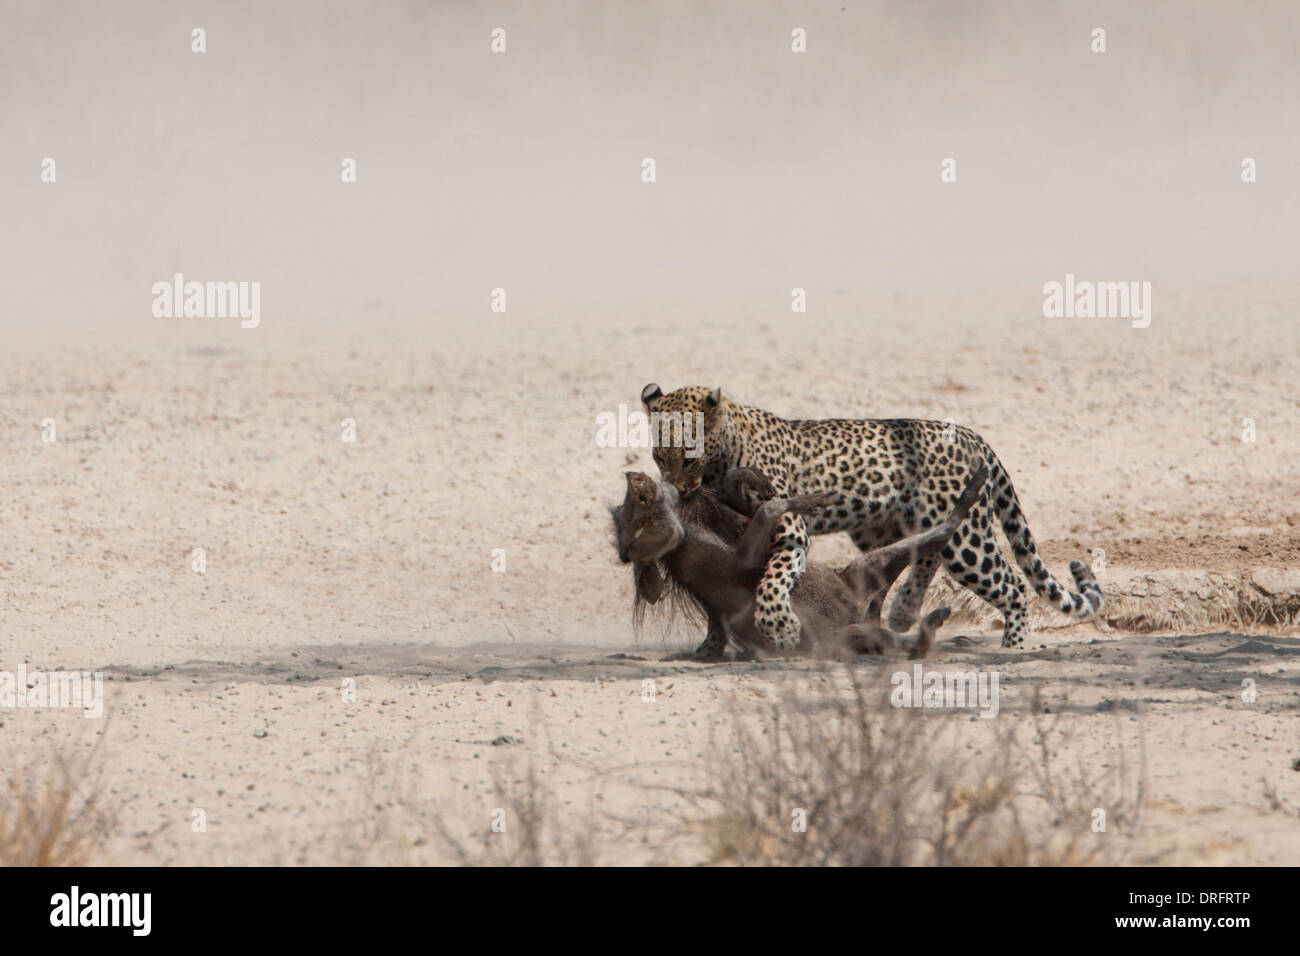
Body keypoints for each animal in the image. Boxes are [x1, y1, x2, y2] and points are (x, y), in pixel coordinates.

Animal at [640, 383, 1102, 653]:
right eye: (659, 457)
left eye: (689, 456)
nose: (676, 490)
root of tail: (973, 436)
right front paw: (711, 643)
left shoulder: (790, 531)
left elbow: (772, 582)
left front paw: (781, 629)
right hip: (882, 526)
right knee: (925, 550)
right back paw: (903, 609)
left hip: (969, 542)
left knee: (1011, 583)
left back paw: (1014, 646)